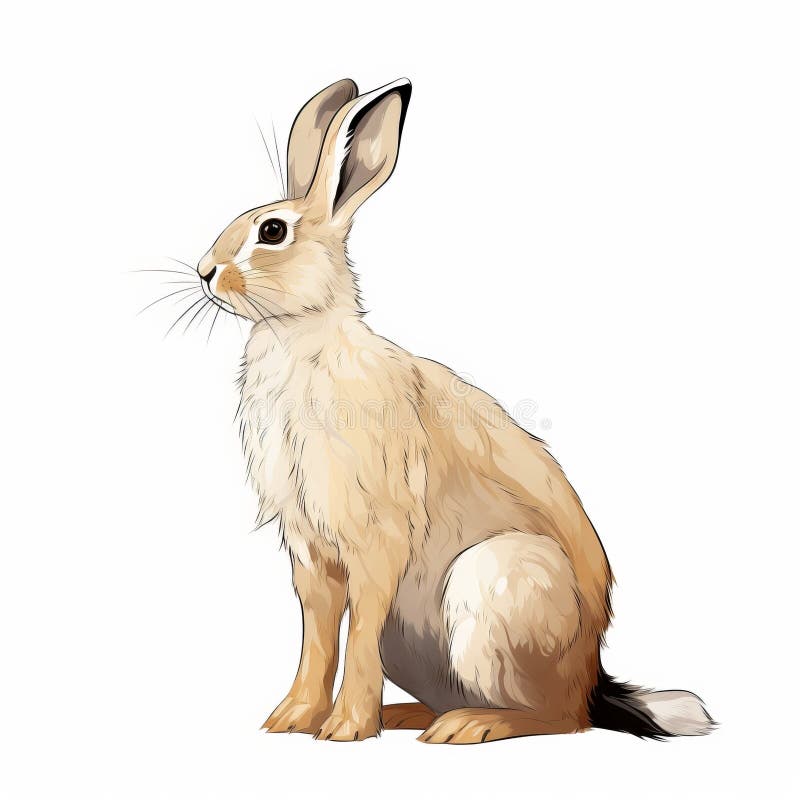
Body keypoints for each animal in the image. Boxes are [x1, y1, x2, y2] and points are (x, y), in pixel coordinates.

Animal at [192, 78, 714, 743]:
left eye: (273, 232)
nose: (206, 271)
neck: (301, 338)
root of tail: (590, 680)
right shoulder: (309, 551)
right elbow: (317, 637)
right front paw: (290, 720)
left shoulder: (374, 536)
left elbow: (355, 635)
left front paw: (345, 729)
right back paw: (410, 716)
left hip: (496, 585)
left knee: (558, 720)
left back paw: (466, 727)